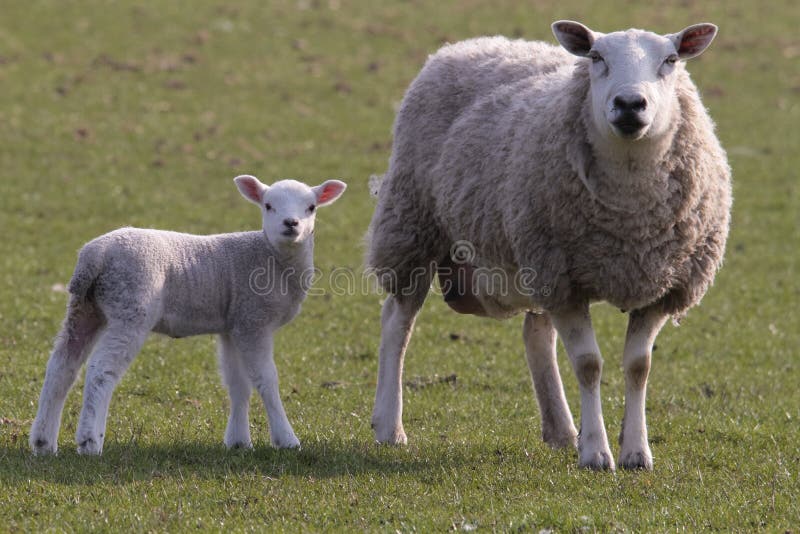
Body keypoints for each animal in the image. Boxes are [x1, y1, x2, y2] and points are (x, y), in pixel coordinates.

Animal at [29, 175, 346, 455]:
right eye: (268, 205)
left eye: (311, 207)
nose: (291, 223)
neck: (271, 257)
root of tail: (95, 255)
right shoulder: (253, 320)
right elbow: (266, 379)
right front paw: (286, 439)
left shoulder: (232, 325)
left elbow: (238, 384)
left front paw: (238, 442)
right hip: (131, 307)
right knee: (100, 370)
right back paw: (90, 441)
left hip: (85, 307)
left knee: (62, 366)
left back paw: (43, 442)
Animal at [366, 21, 731, 470]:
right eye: (596, 58)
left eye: (671, 60)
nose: (630, 104)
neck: (630, 208)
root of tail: (467, 44)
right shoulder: (566, 282)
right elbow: (589, 365)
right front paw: (596, 453)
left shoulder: (661, 287)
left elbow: (638, 366)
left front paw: (635, 451)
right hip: (413, 227)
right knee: (397, 323)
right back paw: (389, 426)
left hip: (530, 257)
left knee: (536, 333)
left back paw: (560, 430)